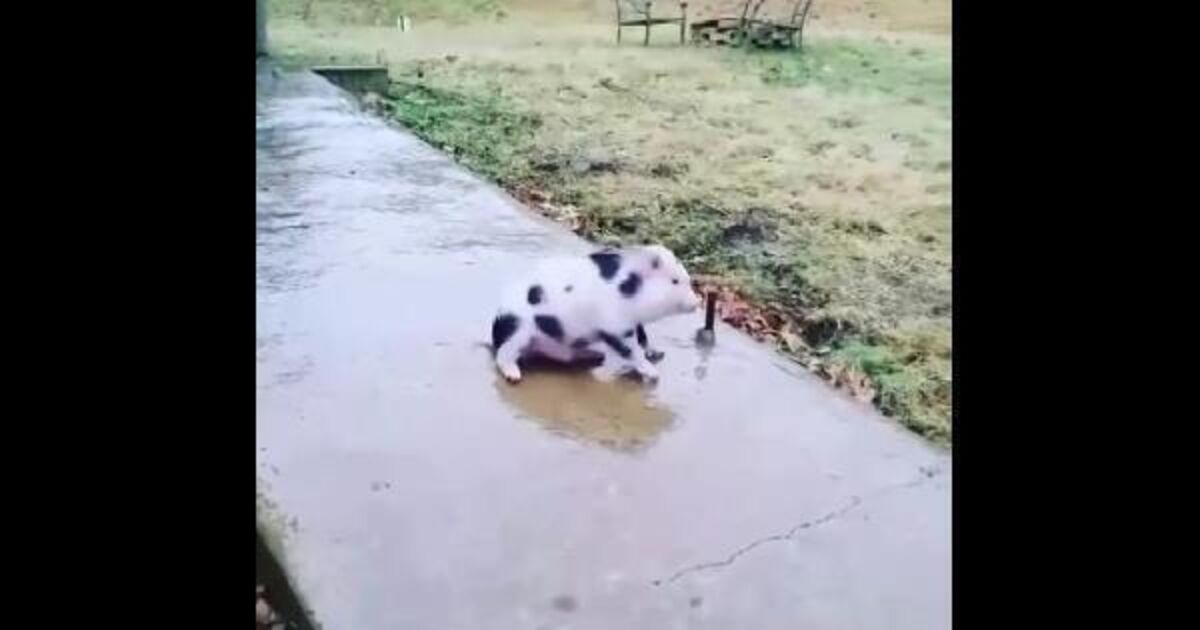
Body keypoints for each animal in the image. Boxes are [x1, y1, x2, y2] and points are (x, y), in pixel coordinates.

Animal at [491, 244, 701, 384]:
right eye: (674, 281)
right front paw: (654, 375)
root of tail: (495, 331)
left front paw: (658, 354)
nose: (698, 302)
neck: (626, 289)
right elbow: (630, 349)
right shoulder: (615, 325)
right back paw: (514, 377)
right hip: (517, 330)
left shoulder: (632, 323)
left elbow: (642, 338)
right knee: (504, 354)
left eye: (687, 278)